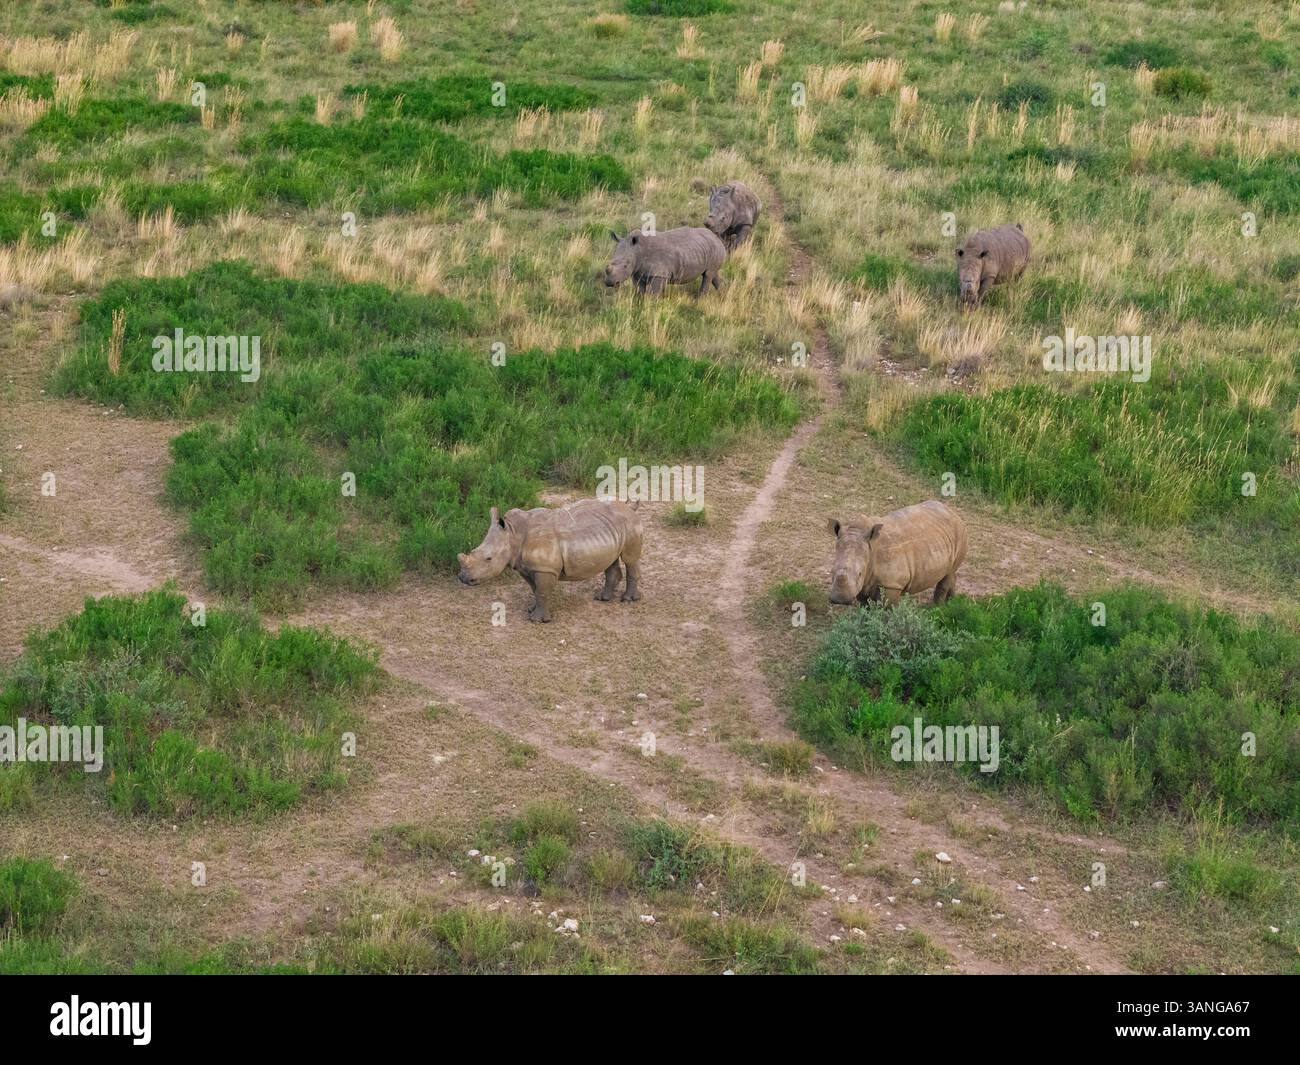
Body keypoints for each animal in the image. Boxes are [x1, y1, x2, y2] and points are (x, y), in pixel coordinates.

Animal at [457, 498, 644, 623]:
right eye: (473, 551)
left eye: (488, 558)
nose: (463, 578)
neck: (513, 534)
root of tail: (629, 507)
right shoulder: (526, 566)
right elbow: (535, 589)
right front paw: (531, 610)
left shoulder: (544, 568)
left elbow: (542, 591)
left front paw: (538, 620)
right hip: (609, 529)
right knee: (610, 560)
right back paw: (602, 598)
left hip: (630, 524)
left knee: (630, 559)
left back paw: (628, 600)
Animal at [827, 500, 967, 606]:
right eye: (832, 571)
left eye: (859, 574)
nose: (840, 600)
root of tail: (952, 511)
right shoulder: (865, 582)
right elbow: (865, 606)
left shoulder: (892, 584)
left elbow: (888, 608)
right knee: (951, 573)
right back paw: (952, 603)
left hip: (959, 533)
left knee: (948, 573)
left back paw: (938, 608)